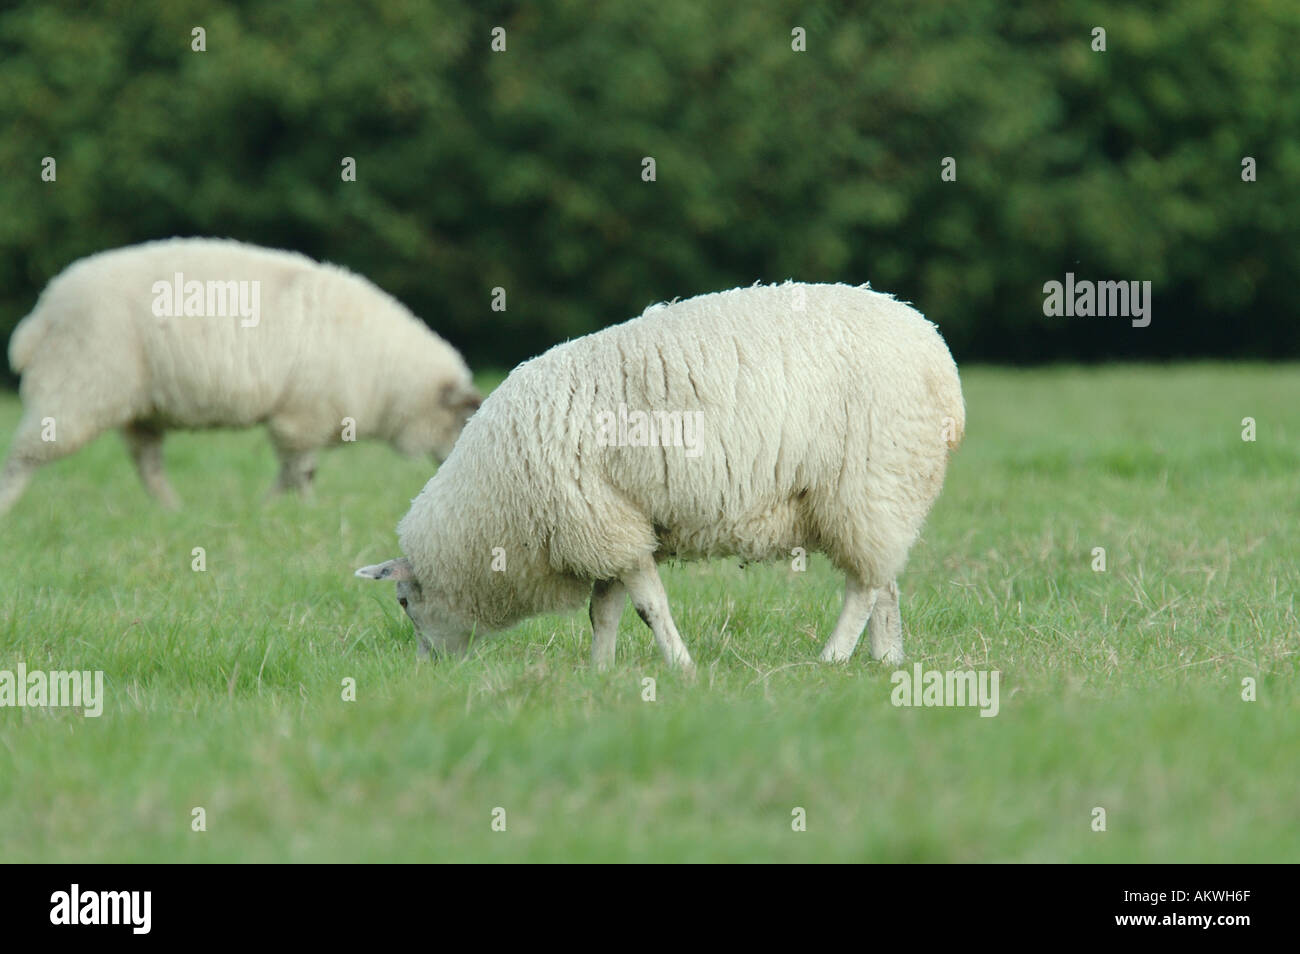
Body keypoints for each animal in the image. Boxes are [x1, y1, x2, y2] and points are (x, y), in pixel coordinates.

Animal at [0, 238, 480, 515]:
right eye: (461, 422)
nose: (456, 471)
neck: (391, 375)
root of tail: (43, 312)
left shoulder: (305, 420)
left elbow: (291, 471)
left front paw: (269, 511)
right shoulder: (302, 416)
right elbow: (301, 472)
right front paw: (302, 512)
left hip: (140, 409)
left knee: (149, 466)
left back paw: (174, 513)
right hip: (76, 389)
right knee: (24, 456)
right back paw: (8, 507)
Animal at [356, 282, 964, 671]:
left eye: (405, 602)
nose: (428, 673)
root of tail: (936, 348)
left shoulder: (602, 524)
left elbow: (649, 608)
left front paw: (680, 666)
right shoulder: (605, 526)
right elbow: (603, 611)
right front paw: (599, 673)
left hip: (868, 483)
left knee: (864, 587)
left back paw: (833, 659)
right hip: (888, 493)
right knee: (883, 579)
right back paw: (886, 660)